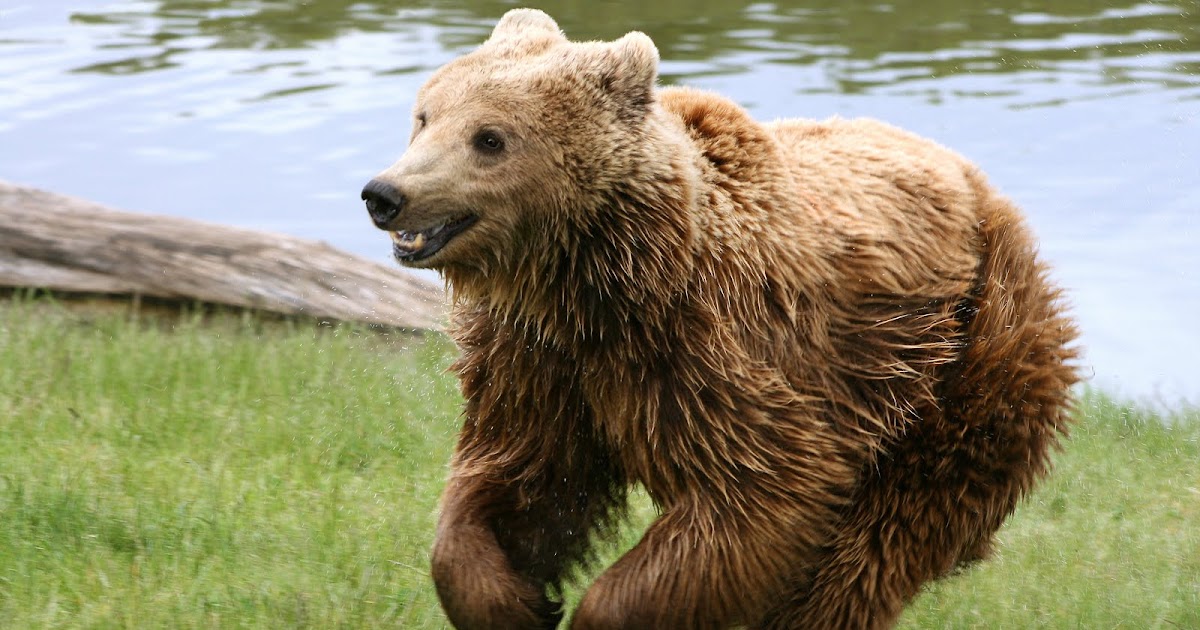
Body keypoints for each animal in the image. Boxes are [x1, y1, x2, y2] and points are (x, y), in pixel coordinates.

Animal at [361, 9, 1080, 629]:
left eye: (490, 138)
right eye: (424, 116)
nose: (385, 193)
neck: (591, 279)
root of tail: (980, 185)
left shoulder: (714, 353)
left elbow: (756, 497)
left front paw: (596, 613)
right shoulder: (538, 363)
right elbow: (519, 482)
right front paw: (517, 602)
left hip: (959, 361)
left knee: (876, 546)